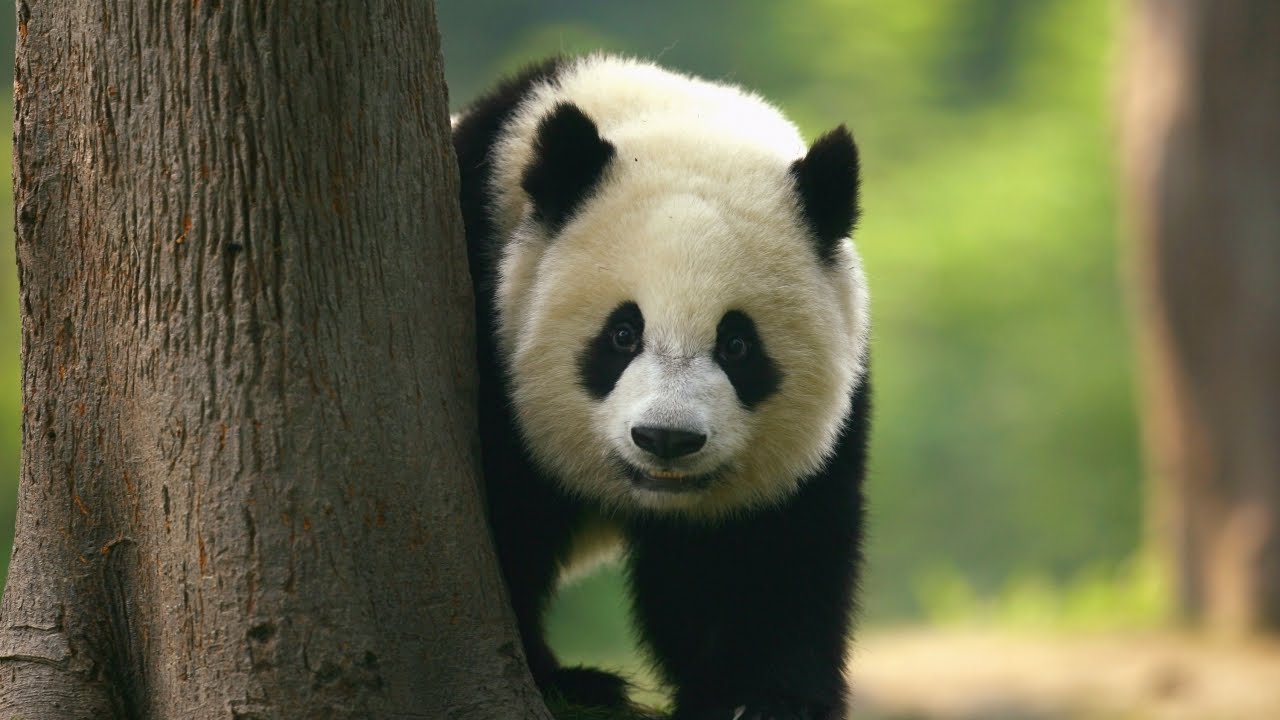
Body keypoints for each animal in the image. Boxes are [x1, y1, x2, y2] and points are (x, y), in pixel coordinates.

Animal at [452, 55, 871, 720]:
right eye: (623, 334)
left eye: (737, 345)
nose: (666, 439)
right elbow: (510, 521)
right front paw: (561, 681)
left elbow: (770, 552)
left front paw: (759, 698)